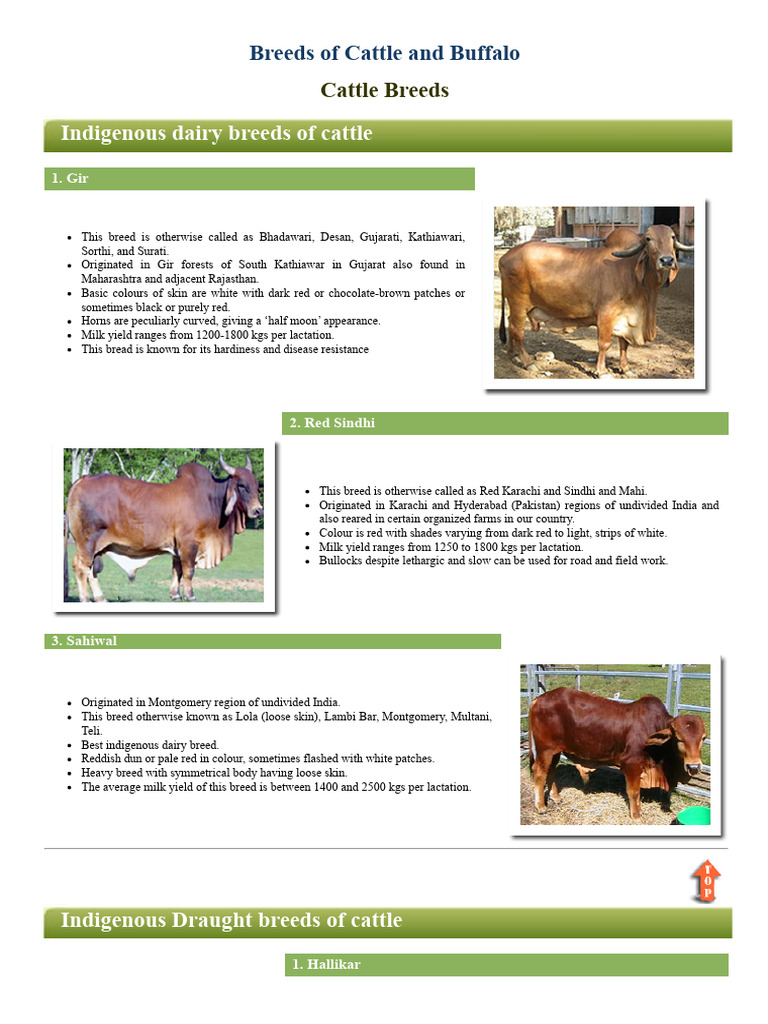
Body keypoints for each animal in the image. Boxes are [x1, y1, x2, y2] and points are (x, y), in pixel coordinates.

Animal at [64, 454, 262, 602]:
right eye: (242, 485)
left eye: (256, 485)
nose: (258, 510)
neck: (210, 499)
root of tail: (82, 480)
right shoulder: (189, 543)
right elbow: (189, 571)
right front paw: (190, 595)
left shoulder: (178, 547)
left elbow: (177, 570)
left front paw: (175, 595)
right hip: (87, 542)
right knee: (81, 567)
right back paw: (85, 599)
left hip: (97, 546)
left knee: (91, 571)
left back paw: (100, 598)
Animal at [498, 224, 693, 377]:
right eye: (648, 239)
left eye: (672, 237)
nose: (667, 260)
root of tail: (505, 256)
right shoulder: (605, 314)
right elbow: (604, 344)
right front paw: (602, 371)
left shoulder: (625, 317)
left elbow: (624, 343)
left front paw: (626, 368)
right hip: (519, 304)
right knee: (517, 330)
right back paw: (528, 362)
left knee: (510, 323)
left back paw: (512, 353)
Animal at [528, 687, 707, 820]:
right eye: (679, 738)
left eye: (703, 738)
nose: (694, 766)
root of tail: (539, 698)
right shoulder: (631, 763)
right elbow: (634, 791)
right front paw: (636, 815)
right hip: (545, 749)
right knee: (539, 771)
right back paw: (541, 806)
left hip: (555, 751)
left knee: (551, 770)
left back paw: (556, 797)